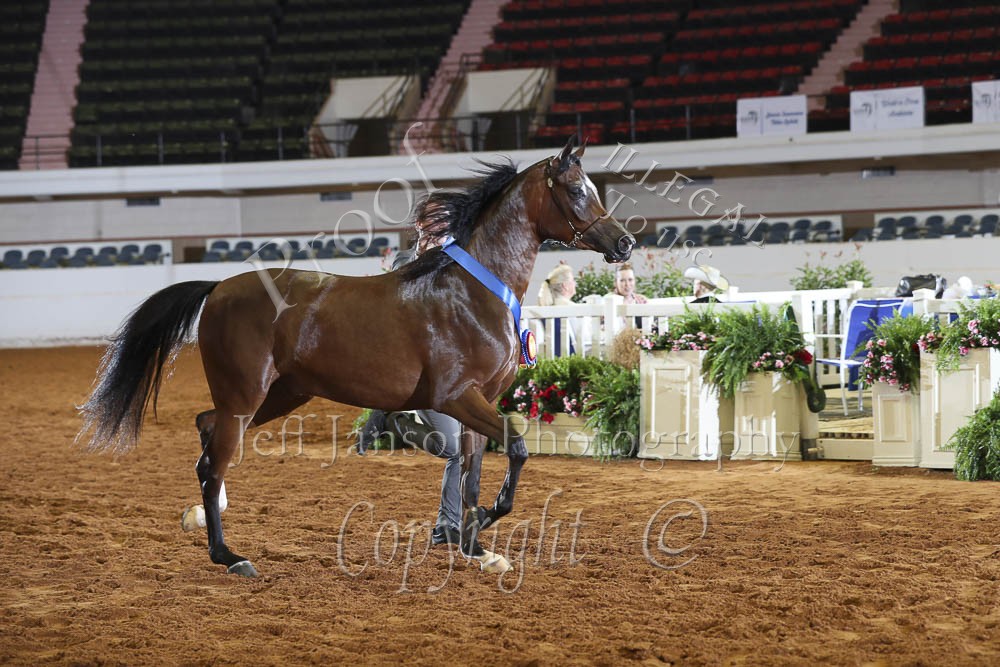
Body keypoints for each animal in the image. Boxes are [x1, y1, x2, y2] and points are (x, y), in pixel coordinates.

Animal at [78, 137, 634, 578]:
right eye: (577, 191)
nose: (625, 242)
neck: (472, 291)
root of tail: (217, 288)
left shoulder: (480, 402)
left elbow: (473, 472)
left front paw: (475, 546)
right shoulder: (456, 398)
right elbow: (516, 449)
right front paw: (480, 524)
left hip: (279, 395)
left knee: (204, 431)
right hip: (245, 396)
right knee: (214, 462)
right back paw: (230, 556)